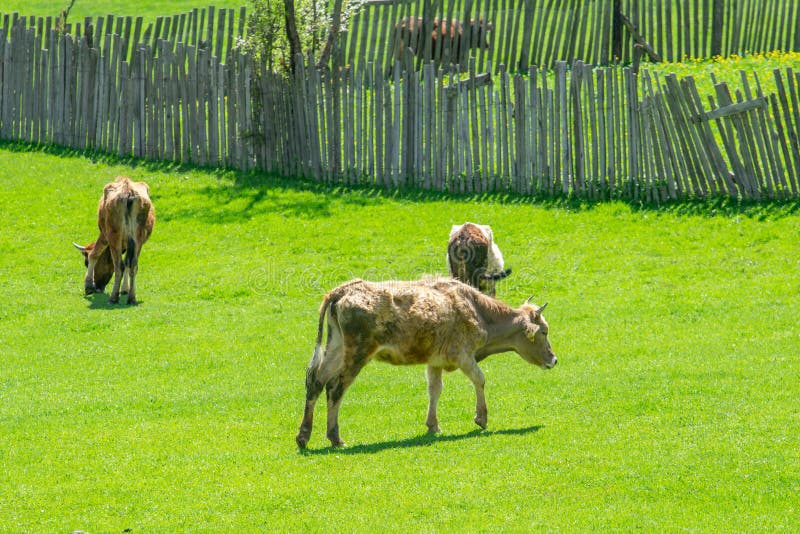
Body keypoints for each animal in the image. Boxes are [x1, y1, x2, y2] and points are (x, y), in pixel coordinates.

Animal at [73, 176, 155, 305]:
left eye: (85, 263)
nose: (98, 287)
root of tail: (129, 193)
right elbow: (127, 262)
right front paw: (125, 289)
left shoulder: (103, 234)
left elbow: (94, 254)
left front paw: (88, 286)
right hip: (139, 237)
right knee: (133, 264)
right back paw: (132, 298)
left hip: (113, 235)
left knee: (119, 266)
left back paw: (113, 297)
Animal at [295, 277, 556, 448]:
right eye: (544, 331)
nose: (554, 359)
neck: (478, 311)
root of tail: (343, 289)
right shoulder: (463, 355)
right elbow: (480, 380)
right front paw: (481, 418)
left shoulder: (435, 360)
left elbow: (434, 390)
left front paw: (433, 425)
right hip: (357, 353)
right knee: (335, 388)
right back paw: (335, 437)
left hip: (336, 347)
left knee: (316, 382)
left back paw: (303, 436)